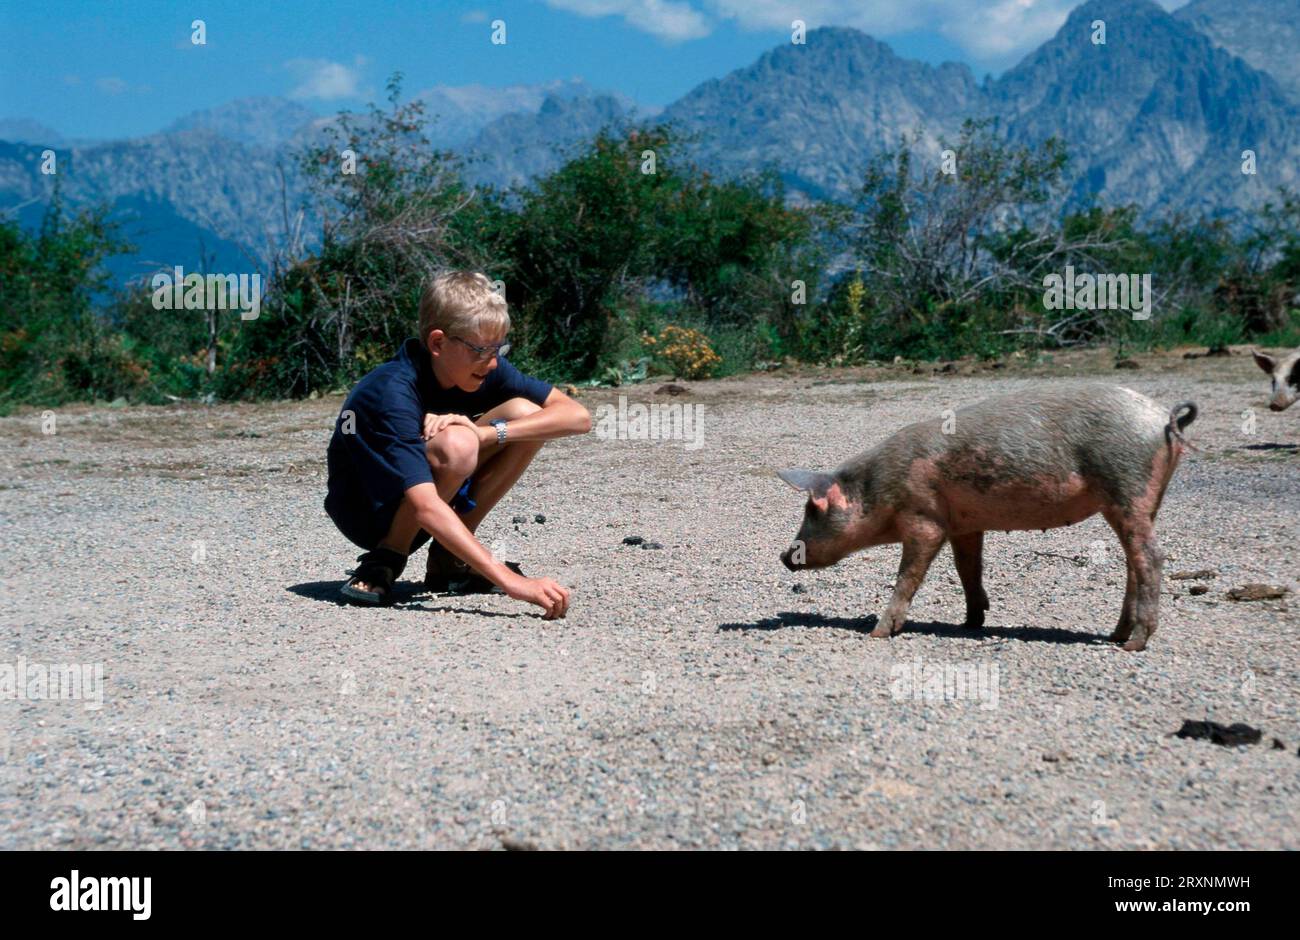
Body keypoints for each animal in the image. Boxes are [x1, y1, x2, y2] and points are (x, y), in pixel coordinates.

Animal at [778, 384, 1197, 651]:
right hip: (1142, 500)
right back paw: (1115, 635)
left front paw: (878, 633)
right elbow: (968, 569)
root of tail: (1163, 417)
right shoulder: (965, 524)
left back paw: (1133, 645)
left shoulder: (924, 518)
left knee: (1151, 557)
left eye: (812, 510)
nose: (785, 556)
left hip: (1127, 486)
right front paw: (971, 622)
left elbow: (909, 575)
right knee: (1133, 561)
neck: (877, 489)